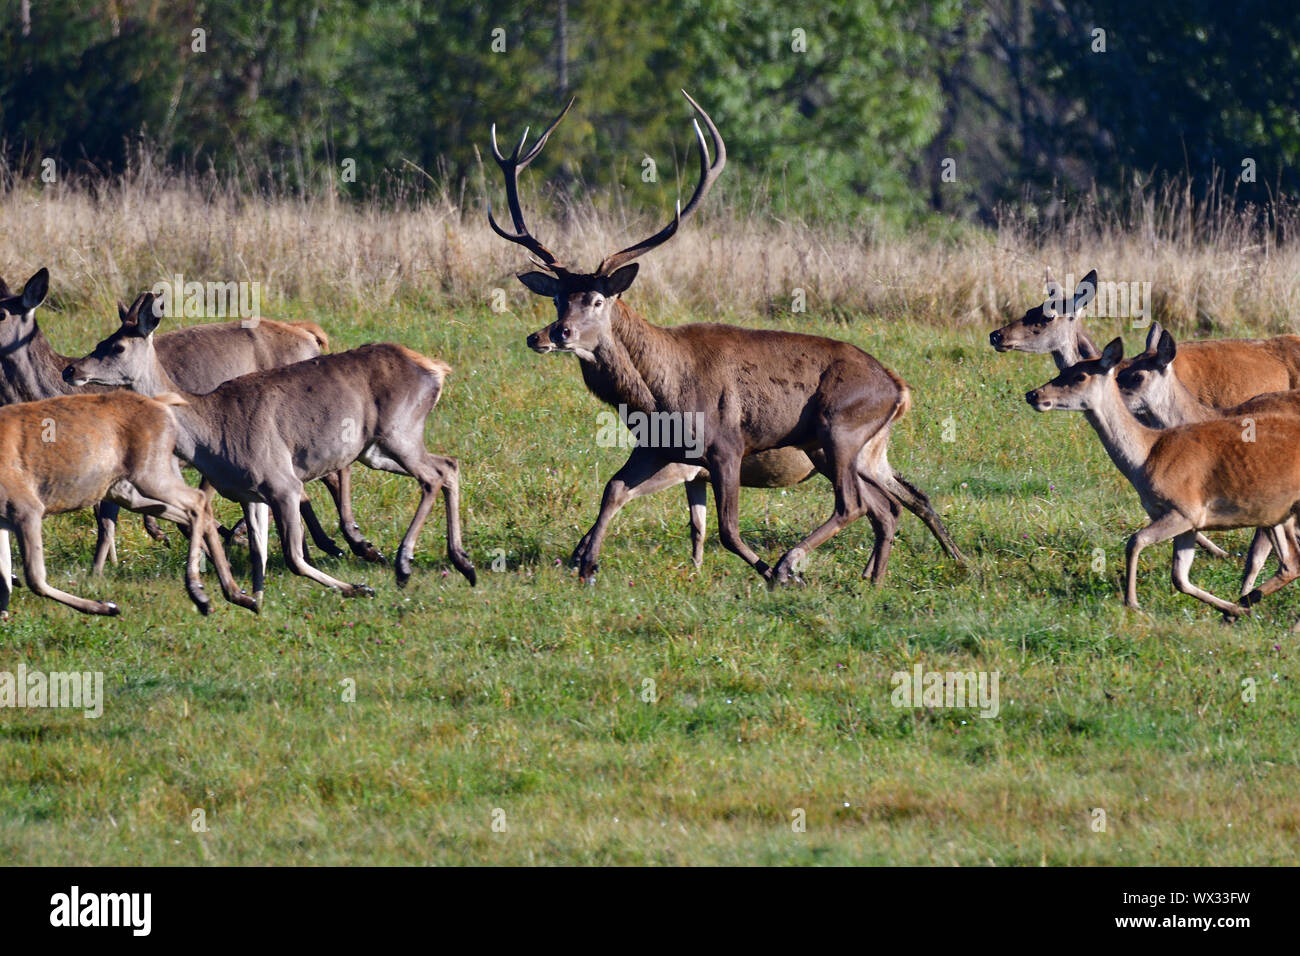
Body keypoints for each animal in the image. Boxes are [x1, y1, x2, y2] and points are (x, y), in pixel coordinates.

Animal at [0, 269, 384, 575]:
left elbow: (112, 514)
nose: (72, 369)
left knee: (334, 470)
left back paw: (352, 542)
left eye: (2, 312)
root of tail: (311, 335)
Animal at [0, 391, 257, 617]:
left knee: (198, 500)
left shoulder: (26, 507)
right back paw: (237, 594)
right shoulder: (3, 519)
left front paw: (106, 607)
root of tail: (162, 405)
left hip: (150, 474)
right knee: (190, 512)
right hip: (123, 490)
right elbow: (5, 574)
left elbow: (34, 578)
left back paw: (201, 594)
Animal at [64, 298, 476, 605]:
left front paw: (357, 588)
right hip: (377, 450)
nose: (72, 370)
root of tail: (436, 369)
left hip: (399, 432)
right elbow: (258, 552)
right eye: (102, 339)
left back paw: (404, 564)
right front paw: (253, 599)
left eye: (117, 346)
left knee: (432, 476)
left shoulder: (283, 482)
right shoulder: (251, 492)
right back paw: (463, 562)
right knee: (449, 465)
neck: (210, 432)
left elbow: (293, 557)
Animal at [488, 92, 965, 584]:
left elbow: (727, 529)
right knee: (888, 505)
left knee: (857, 504)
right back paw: (875, 577)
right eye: (558, 298)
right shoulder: (659, 448)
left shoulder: (724, 445)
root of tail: (899, 388)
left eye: (598, 301)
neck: (658, 397)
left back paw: (793, 561)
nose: (549, 335)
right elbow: (614, 488)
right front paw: (587, 565)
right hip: (847, 449)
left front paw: (769, 571)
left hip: (840, 429)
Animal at [1026, 338, 1300, 627]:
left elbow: (1136, 541)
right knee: (1289, 562)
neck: (1145, 456)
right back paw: (1244, 608)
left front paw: (1132, 603)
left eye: (1080, 375)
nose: (1033, 394)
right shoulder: (1188, 522)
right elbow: (1180, 578)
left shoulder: (1185, 509)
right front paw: (1233, 609)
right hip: (1274, 514)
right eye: (1062, 370)